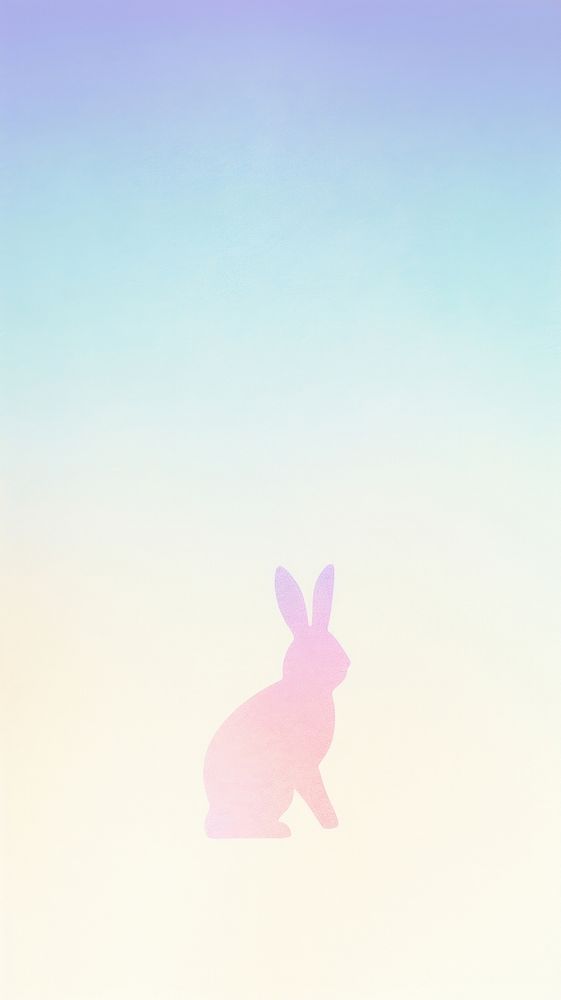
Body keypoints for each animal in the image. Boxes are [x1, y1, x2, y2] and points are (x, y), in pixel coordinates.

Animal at [203, 564, 350, 838]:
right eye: (320, 649)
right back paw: (278, 830)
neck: (304, 689)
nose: (347, 663)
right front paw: (331, 823)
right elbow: (317, 794)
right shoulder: (305, 767)